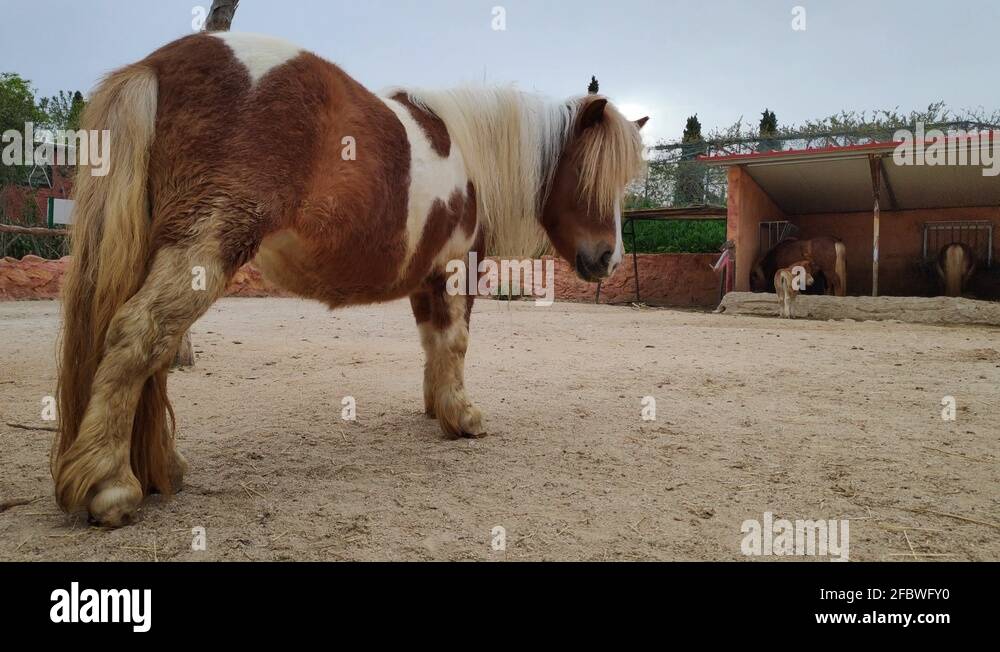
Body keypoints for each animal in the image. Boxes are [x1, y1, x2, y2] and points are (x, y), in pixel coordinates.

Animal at [52, 32, 648, 527]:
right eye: (591, 173)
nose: (609, 259)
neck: (470, 154)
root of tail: (158, 63)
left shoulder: (428, 278)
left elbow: (433, 344)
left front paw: (436, 408)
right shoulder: (457, 269)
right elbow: (455, 341)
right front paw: (463, 418)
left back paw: (163, 469)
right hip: (203, 247)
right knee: (140, 336)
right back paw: (111, 486)